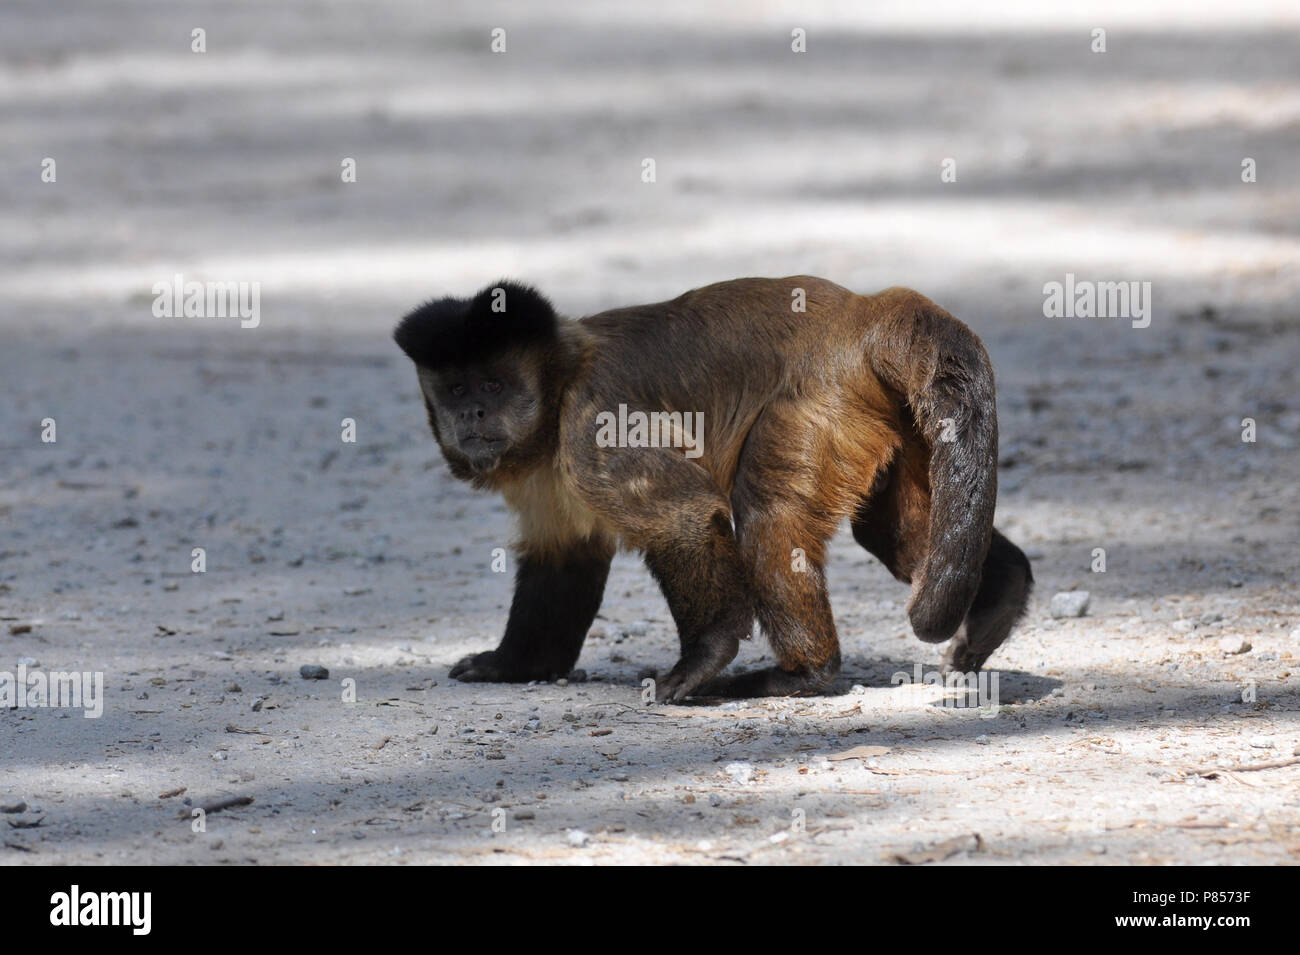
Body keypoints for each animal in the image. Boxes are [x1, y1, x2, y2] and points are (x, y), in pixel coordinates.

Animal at [393, 276, 1032, 702]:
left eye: (494, 385)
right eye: (456, 389)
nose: (473, 412)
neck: (557, 390)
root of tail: (860, 311)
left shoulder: (590, 424)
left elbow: (687, 515)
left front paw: (704, 660)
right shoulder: (545, 469)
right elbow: (565, 557)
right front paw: (514, 666)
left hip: (821, 396)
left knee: (767, 513)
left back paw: (805, 674)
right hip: (887, 412)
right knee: (888, 534)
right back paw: (1002, 592)